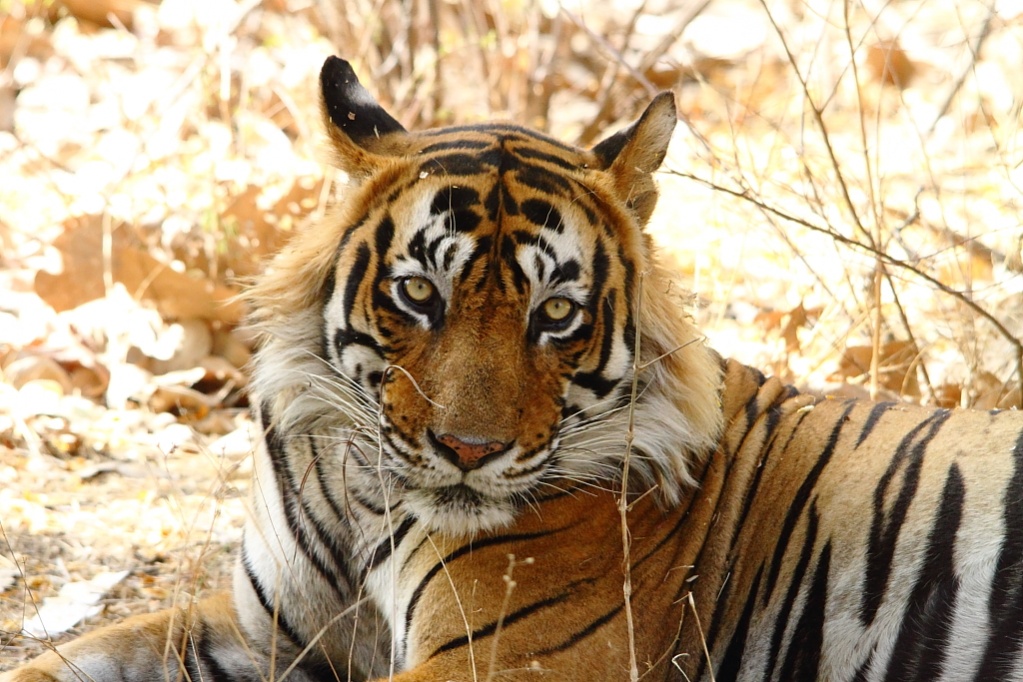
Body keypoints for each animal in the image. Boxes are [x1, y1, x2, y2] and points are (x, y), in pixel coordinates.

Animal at [4, 55, 1023, 682]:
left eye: (556, 314)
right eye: (418, 294)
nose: (469, 451)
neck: (359, 494)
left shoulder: (506, 659)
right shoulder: (271, 634)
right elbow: (70, 657)